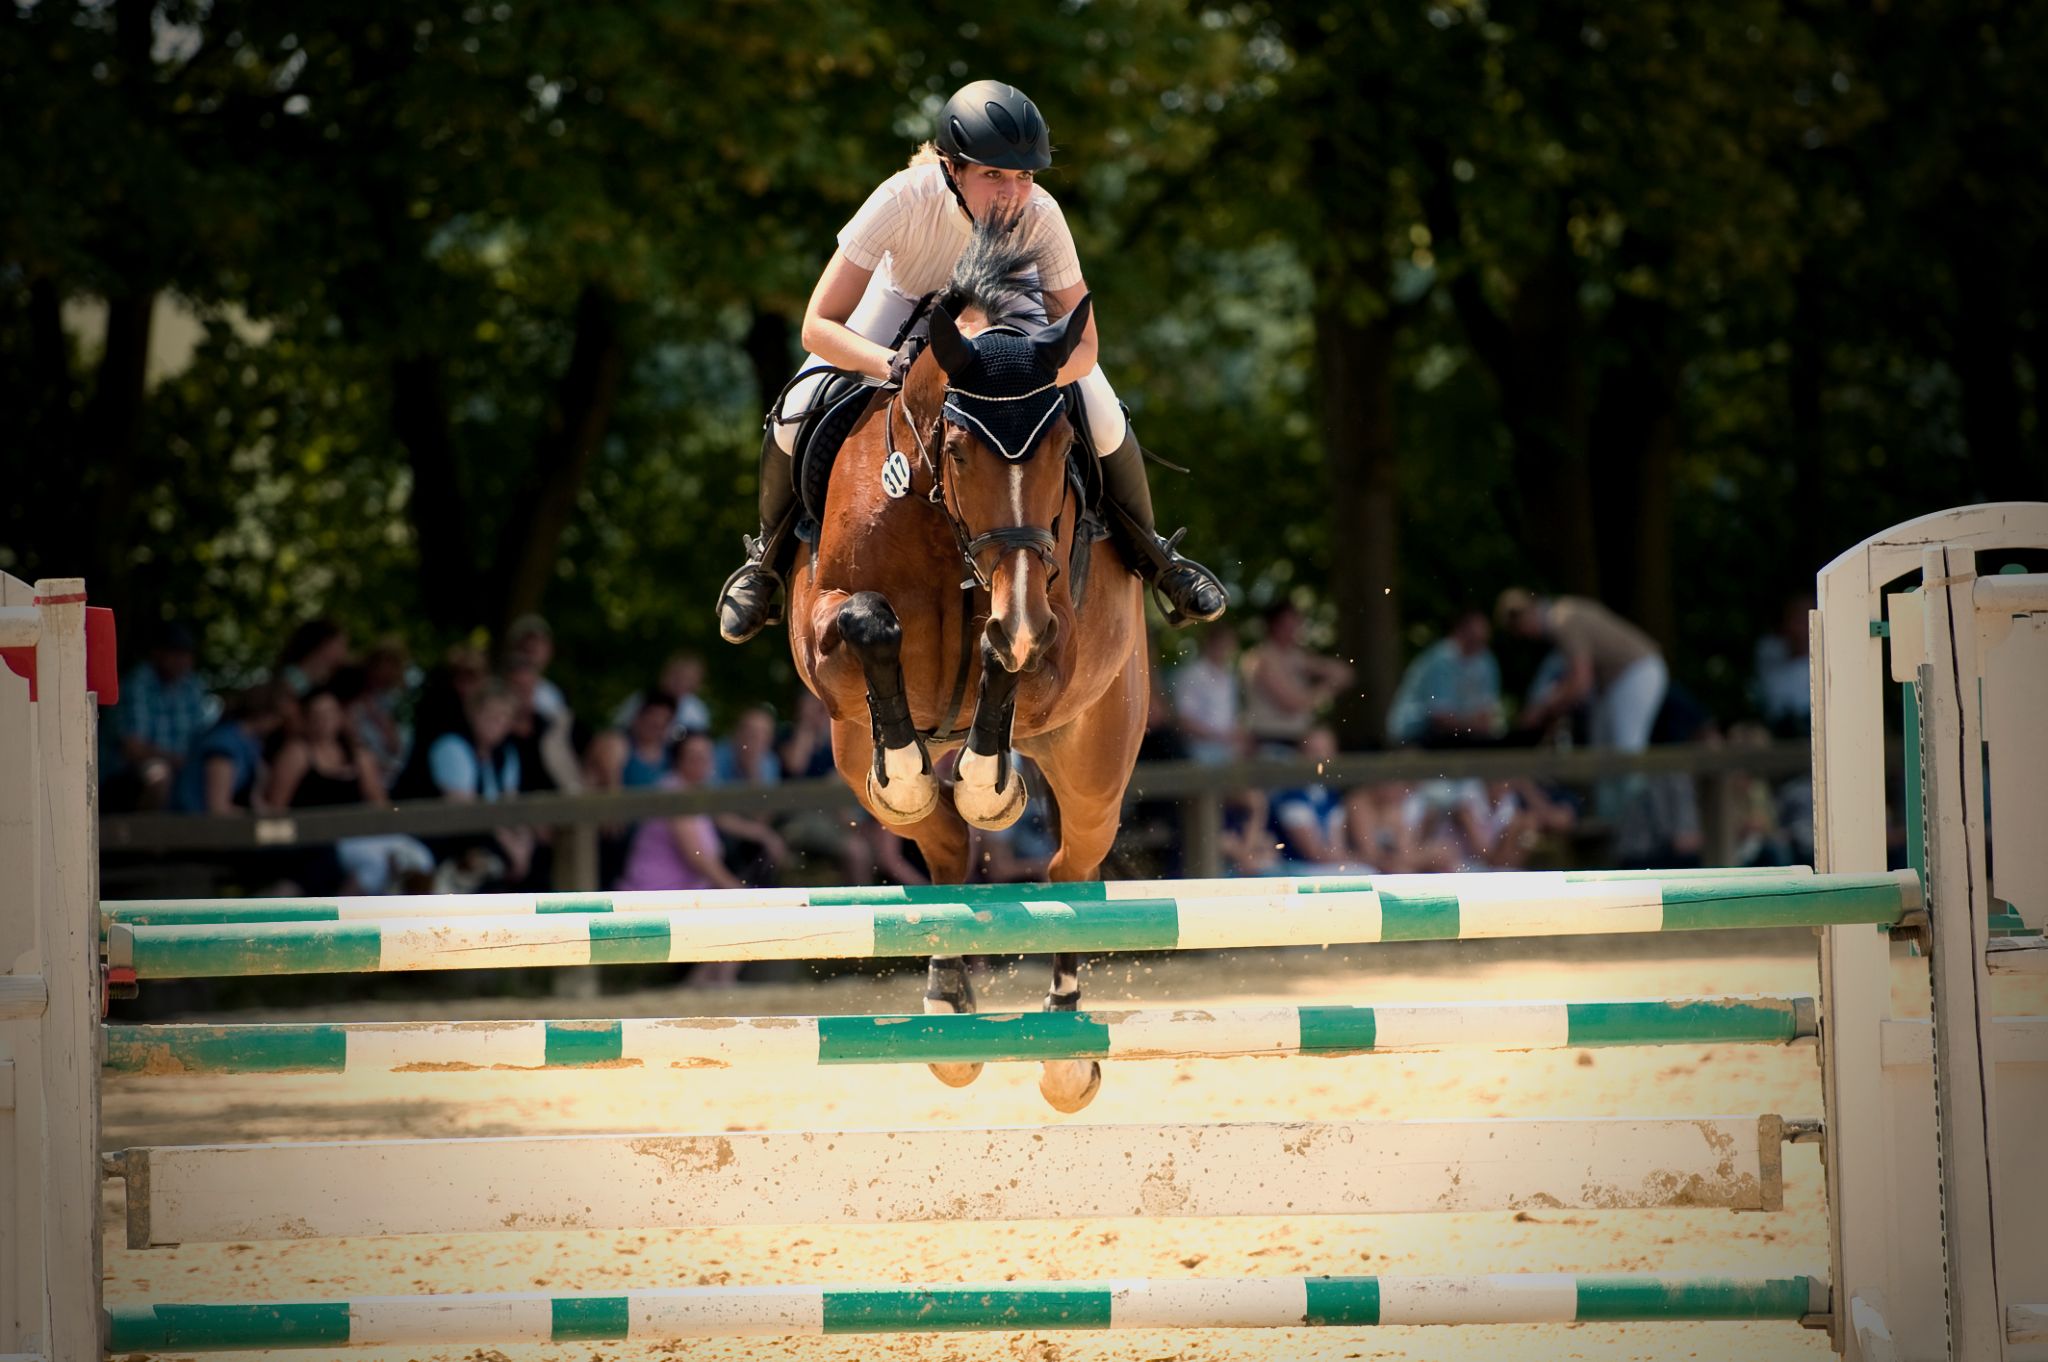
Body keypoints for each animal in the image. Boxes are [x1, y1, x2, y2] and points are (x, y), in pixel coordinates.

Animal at [786, 222, 1149, 1113]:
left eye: (1063, 447)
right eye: (955, 448)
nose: (1020, 606)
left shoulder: (1056, 639)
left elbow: (1003, 653)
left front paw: (992, 781)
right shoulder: (823, 635)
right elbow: (867, 620)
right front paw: (920, 772)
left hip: (1096, 763)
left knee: (1071, 873)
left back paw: (1064, 1053)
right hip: (848, 750)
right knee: (942, 849)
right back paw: (947, 1001)